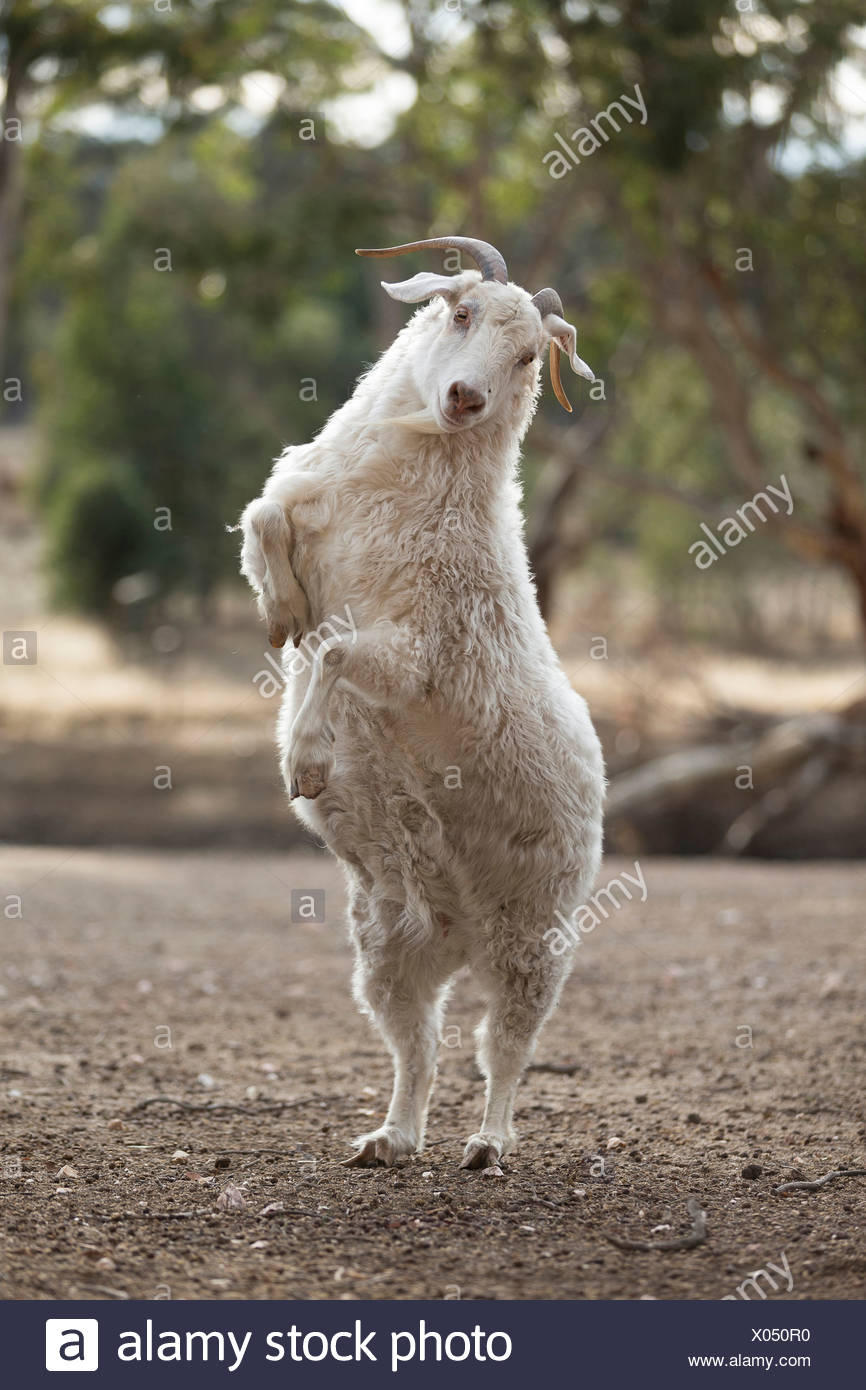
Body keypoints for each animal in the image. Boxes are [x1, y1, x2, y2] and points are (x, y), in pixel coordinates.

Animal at [240, 235, 604, 1170]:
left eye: (529, 356)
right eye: (461, 312)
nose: (464, 398)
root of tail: (462, 937)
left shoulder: (422, 652)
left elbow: (335, 650)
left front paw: (307, 762)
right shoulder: (301, 502)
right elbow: (263, 519)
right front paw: (279, 612)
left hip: (538, 936)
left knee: (504, 1044)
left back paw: (487, 1144)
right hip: (387, 947)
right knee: (422, 1043)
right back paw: (393, 1137)